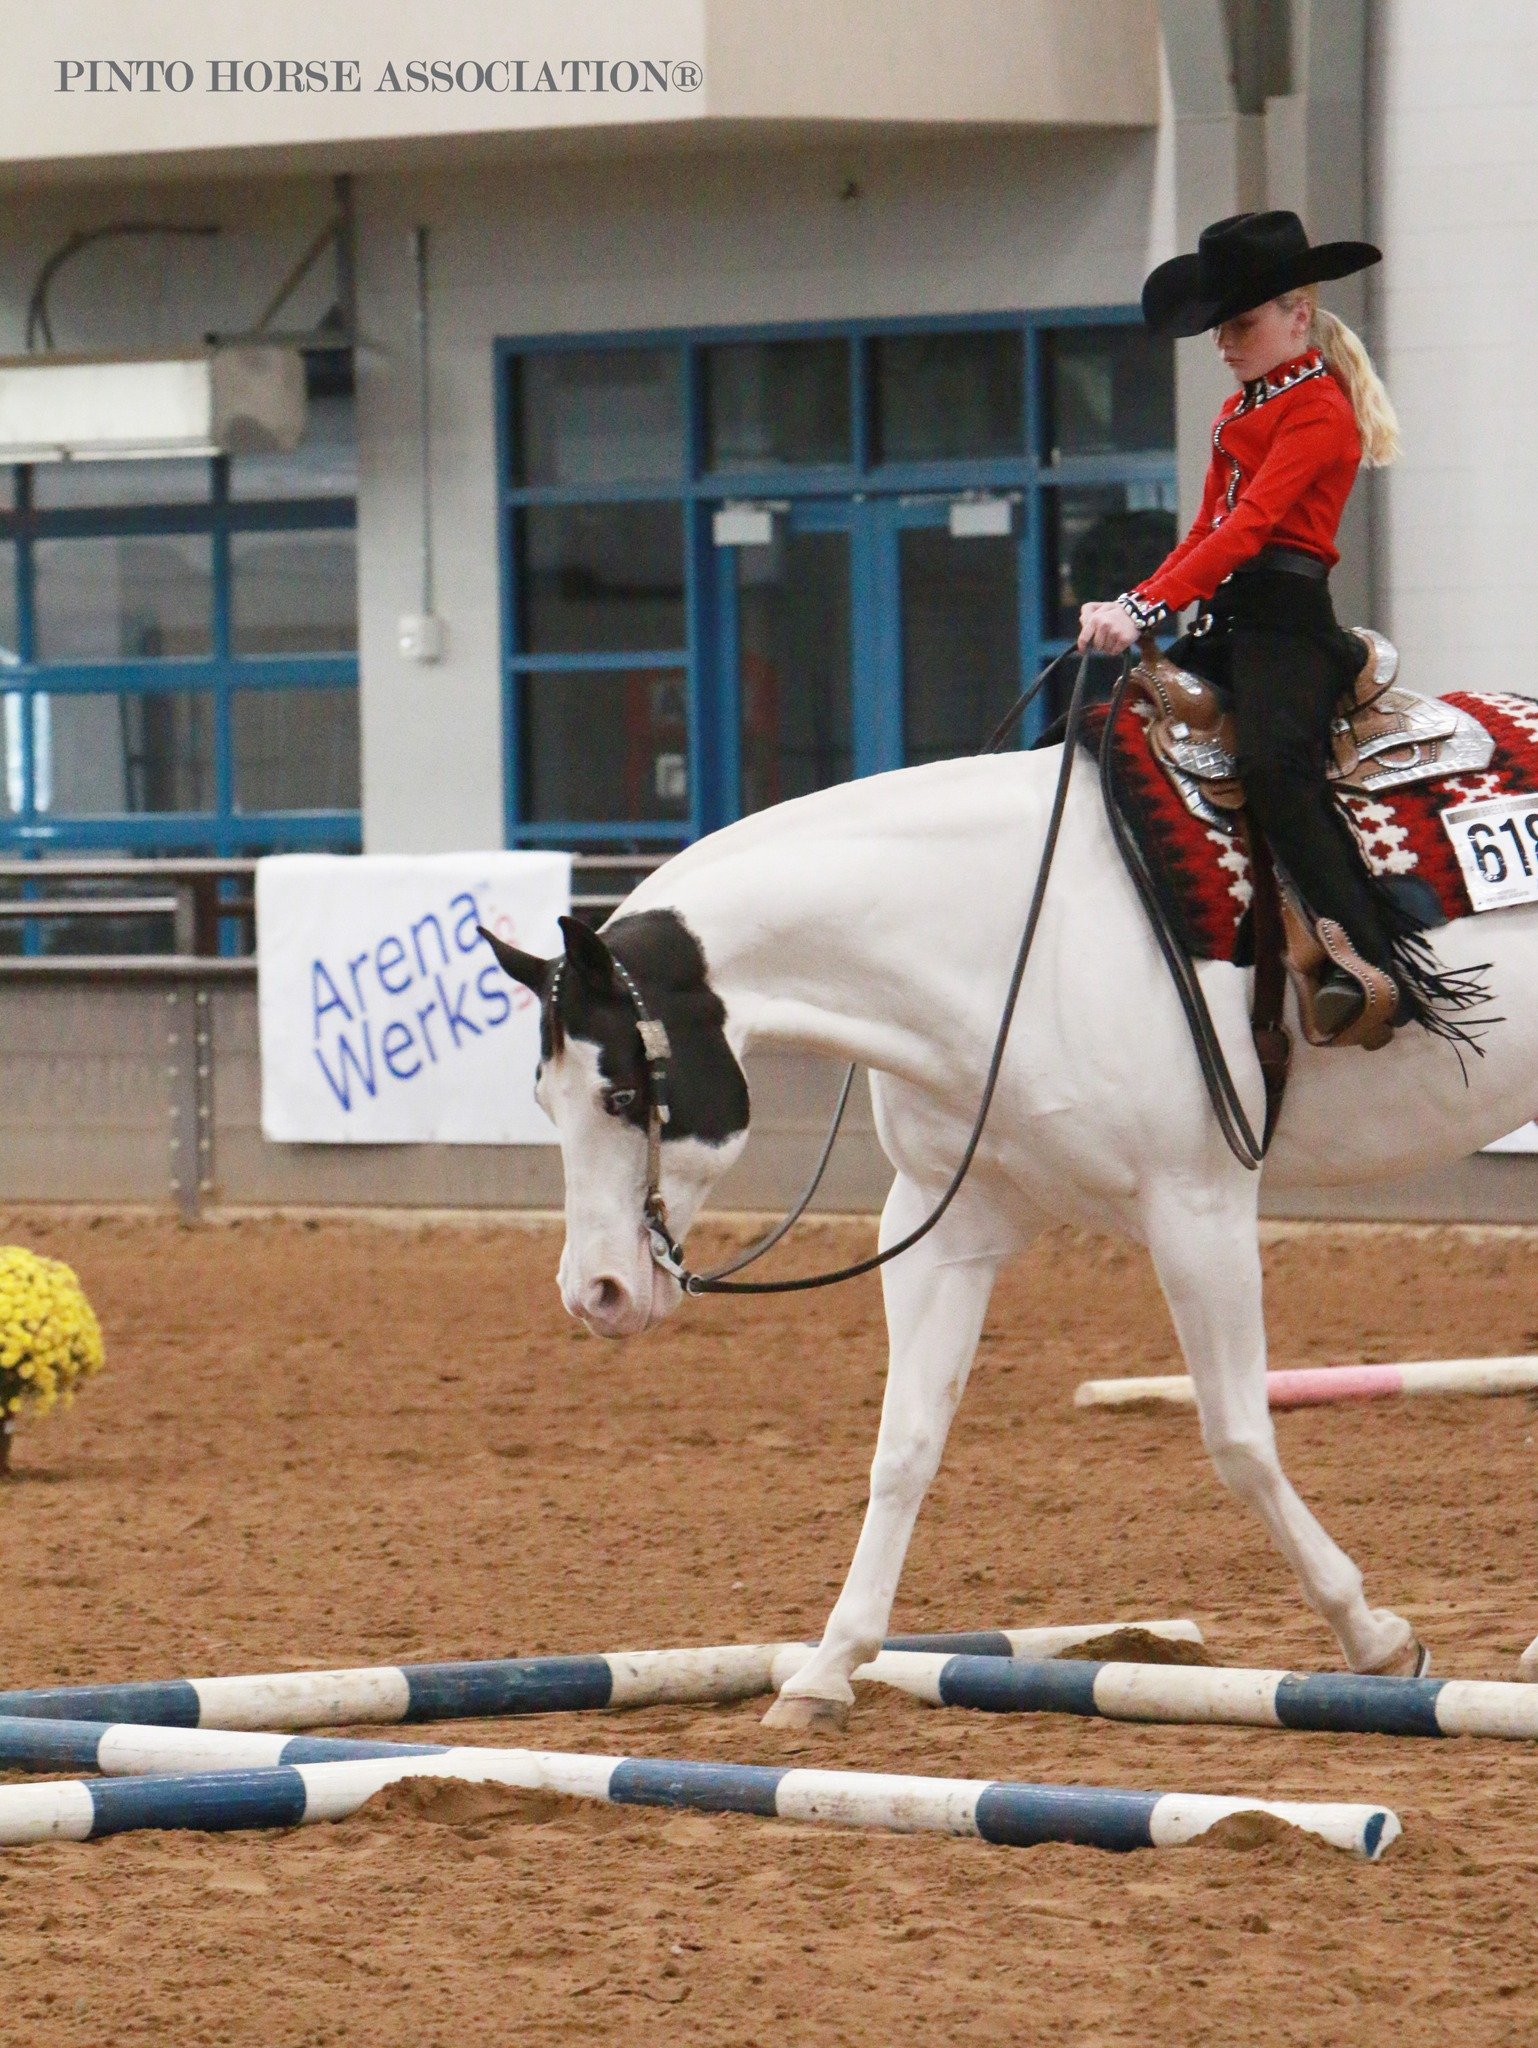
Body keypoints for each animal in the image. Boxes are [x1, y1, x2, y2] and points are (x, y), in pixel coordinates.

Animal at [482, 736, 1538, 1731]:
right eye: (541, 1098)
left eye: (622, 1095)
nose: (597, 1293)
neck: (1002, 945)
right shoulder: (945, 1225)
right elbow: (904, 1447)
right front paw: (824, 1672)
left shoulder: (1196, 1210)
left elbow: (1238, 1436)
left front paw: (1375, 1637)